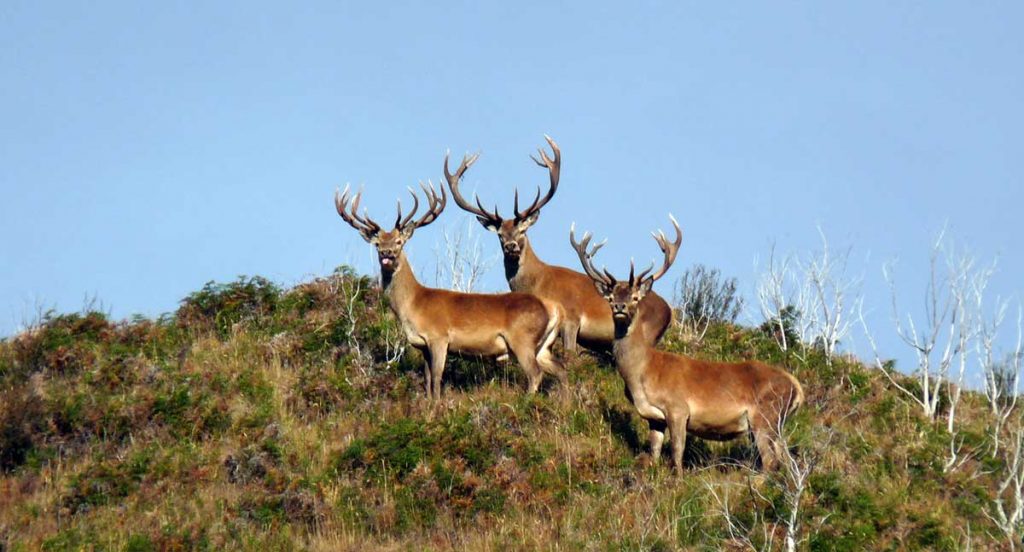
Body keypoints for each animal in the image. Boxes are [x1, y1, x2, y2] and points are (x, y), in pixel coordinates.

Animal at [333, 169, 568, 400]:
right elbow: (427, 380)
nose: (387, 253)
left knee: (535, 373)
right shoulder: (422, 345)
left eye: (399, 242)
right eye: (377, 244)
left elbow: (437, 378)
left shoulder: (438, 337)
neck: (413, 305)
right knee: (562, 370)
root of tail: (553, 308)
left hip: (522, 339)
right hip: (543, 346)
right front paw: (429, 404)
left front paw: (437, 406)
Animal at [445, 136, 672, 354]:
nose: (511, 246)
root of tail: (668, 311)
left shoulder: (571, 318)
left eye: (523, 231)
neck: (538, 284)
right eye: (500, 235)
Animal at [569, 216, 804, 471]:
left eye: (635, 298)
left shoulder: (678, 408)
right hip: (775, 424)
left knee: (770, 461)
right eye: (611, 297)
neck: (642, 373)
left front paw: (679, 477)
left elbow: (677, 452)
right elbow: (654, 452)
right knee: (785, 461)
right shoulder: (654, 418)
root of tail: (796, 387)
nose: (619, 307)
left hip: (764, 416)